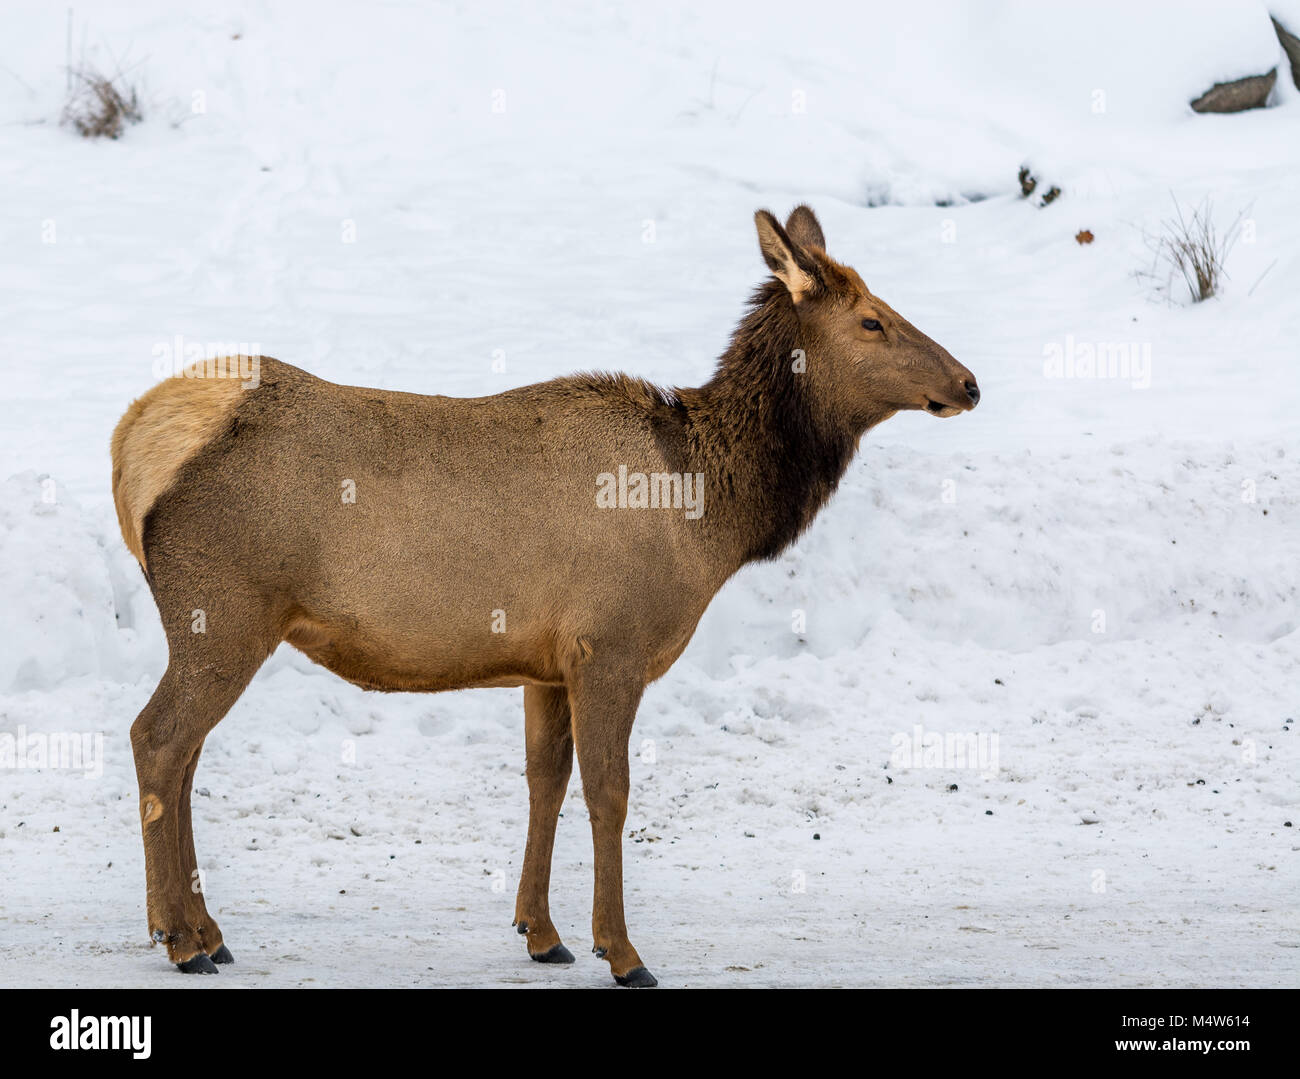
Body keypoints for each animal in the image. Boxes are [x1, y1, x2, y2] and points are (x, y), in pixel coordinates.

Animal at [111, 206, 979, 987]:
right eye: (872, 320)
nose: (969, 382)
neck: (710, 517)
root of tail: (131, 444)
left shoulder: (545, 662)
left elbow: (545, 780)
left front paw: (543, 931)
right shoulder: (610, 644)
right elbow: (610, 792)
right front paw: (623, 952)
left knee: (183, 752)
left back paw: (206, 930)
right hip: (225, 610)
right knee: (158, 737)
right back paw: (180, 939)